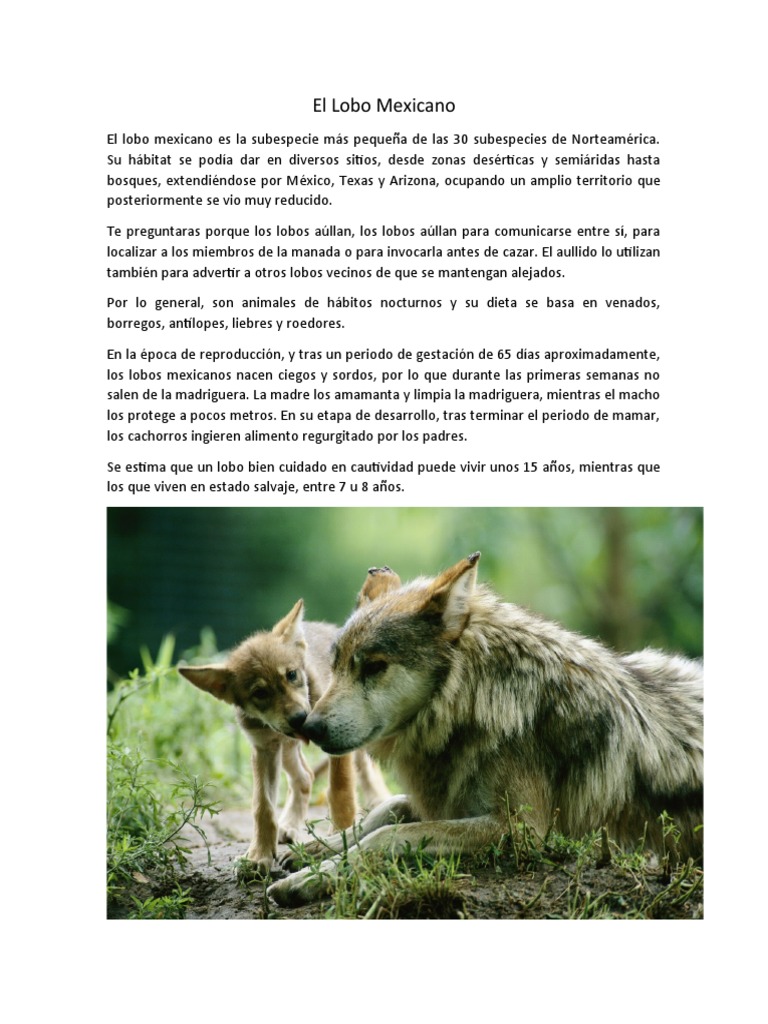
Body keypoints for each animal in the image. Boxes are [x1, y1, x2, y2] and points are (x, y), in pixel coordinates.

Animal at [179, 596, 389, 875]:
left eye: (291, 674)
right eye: (260, 693)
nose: (300, 718)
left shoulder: (337, 741)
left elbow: (340, 788)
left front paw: (340, 833)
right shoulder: (264, 750)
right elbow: (263, 807)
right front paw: (258, 856)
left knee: (365, 769)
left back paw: (380, 801)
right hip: (287, 749)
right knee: (305, 777)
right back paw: (289, 825)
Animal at [269, 552, 703, 906]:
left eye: (375, 666)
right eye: (337, 665)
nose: (310, 727)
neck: (477, 699)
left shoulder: (523, 831)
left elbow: (388, 836)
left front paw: (310, 879)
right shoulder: (444, 799)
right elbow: (383, 812)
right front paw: (313, 852)